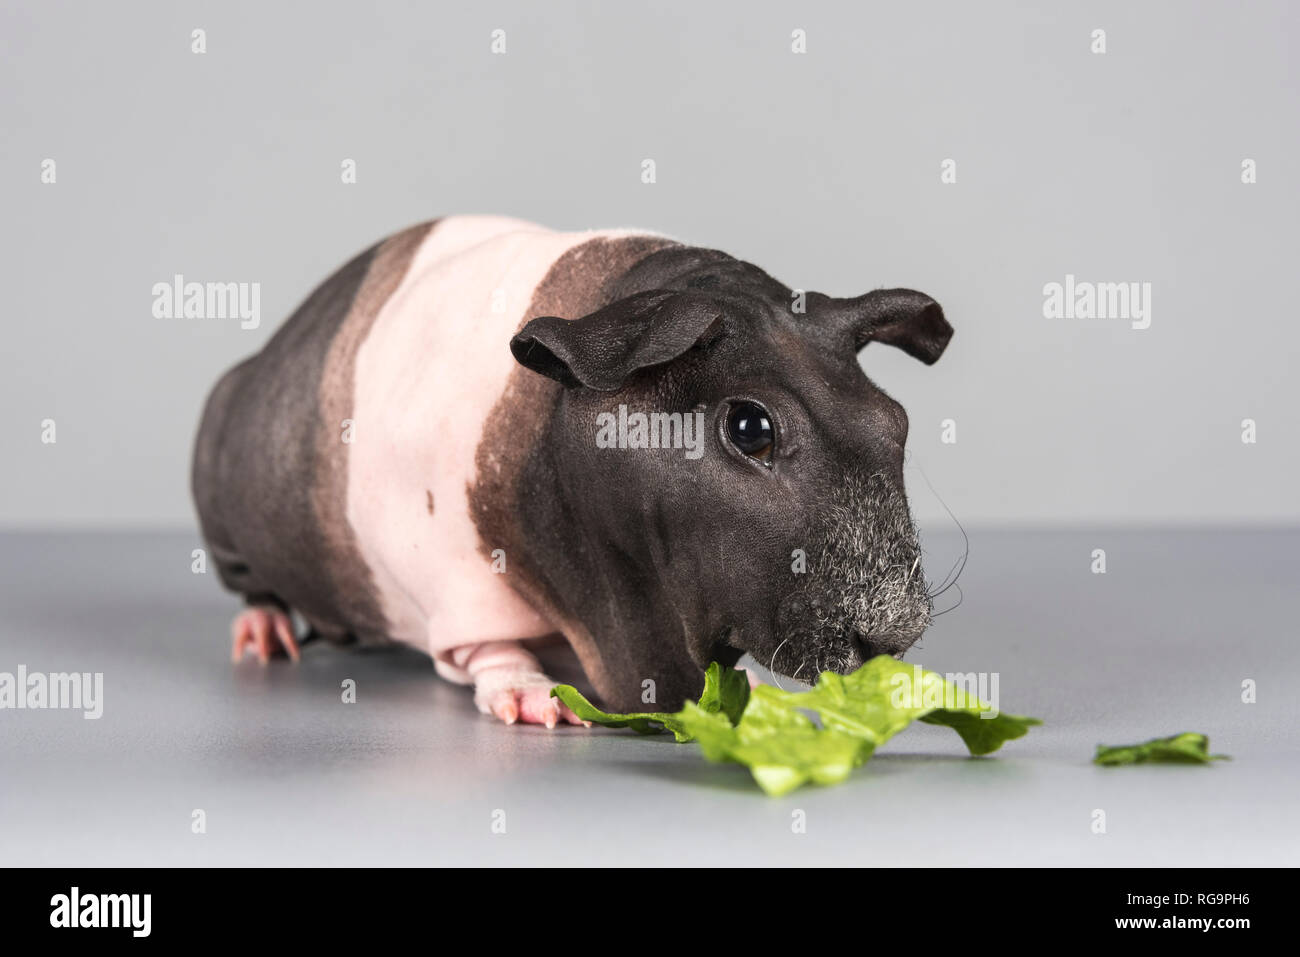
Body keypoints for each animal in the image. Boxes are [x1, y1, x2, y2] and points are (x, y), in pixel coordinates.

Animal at [191, 215, 953, 726]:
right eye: (750, 428)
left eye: (895, 420)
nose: (893, 635)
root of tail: (246, 374)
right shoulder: (452, 574)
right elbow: (485, 646)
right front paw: (537, 705)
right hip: (228, 533)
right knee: (253, 592)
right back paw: (265, 638)